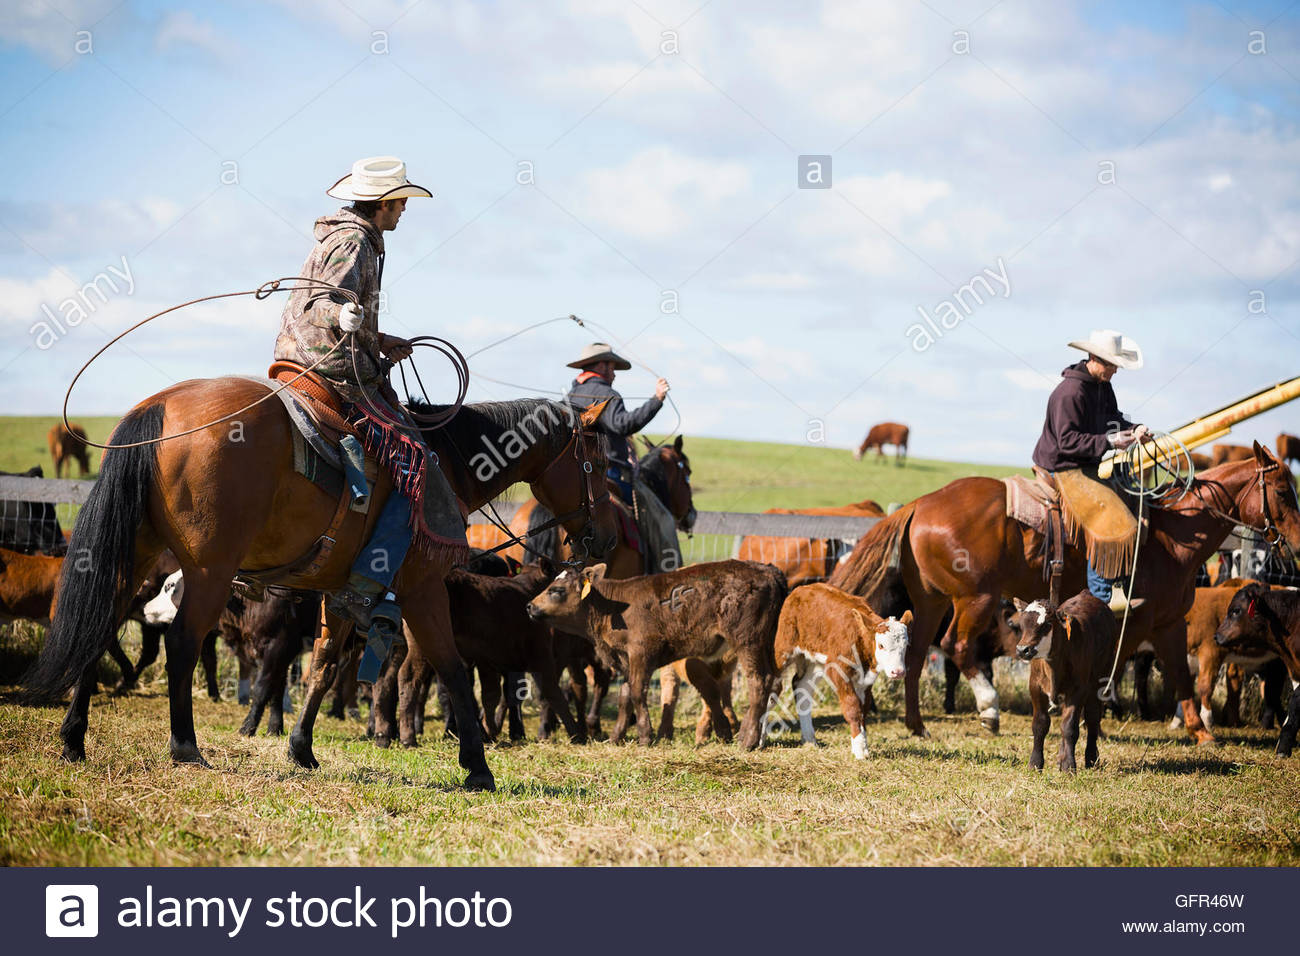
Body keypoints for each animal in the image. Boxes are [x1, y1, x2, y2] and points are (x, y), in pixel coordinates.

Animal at [527, 560, 786, 749]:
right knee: (772, 683)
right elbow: (625, 695)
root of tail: (767, 570)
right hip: (766, 644)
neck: (613, 606)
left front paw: (644, 736)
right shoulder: (624, 659)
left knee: (758, 682)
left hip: (748, 641)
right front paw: (616, 737)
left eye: (556, 590)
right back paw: (750, 736)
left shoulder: (641, 653)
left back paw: (748, 740)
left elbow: (637, 692)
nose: (529, 606)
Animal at [769, 582, 911, 758]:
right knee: (772, 688)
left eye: (906, 645)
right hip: (783, 648)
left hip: (815, 661)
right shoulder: (838, 670)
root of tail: (803, 588)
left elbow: (863, 710)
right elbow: (852, 707)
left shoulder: (866, 680)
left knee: (802, 687)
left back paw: (809, 740)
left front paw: (862, 745)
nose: (898, 672)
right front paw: (860, 750)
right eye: (881, 645)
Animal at [1010, 592, 1118, 772]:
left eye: (1047, 624)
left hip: (1100, 679)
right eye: (1022, 624)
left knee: (1092, 717)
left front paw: (1069, 765)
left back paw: (1091, 758)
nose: (1022, 650)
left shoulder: (1078, 689)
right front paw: (1035, 763)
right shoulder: (1035, 687)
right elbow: (1040, 724)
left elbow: (1069, 726)